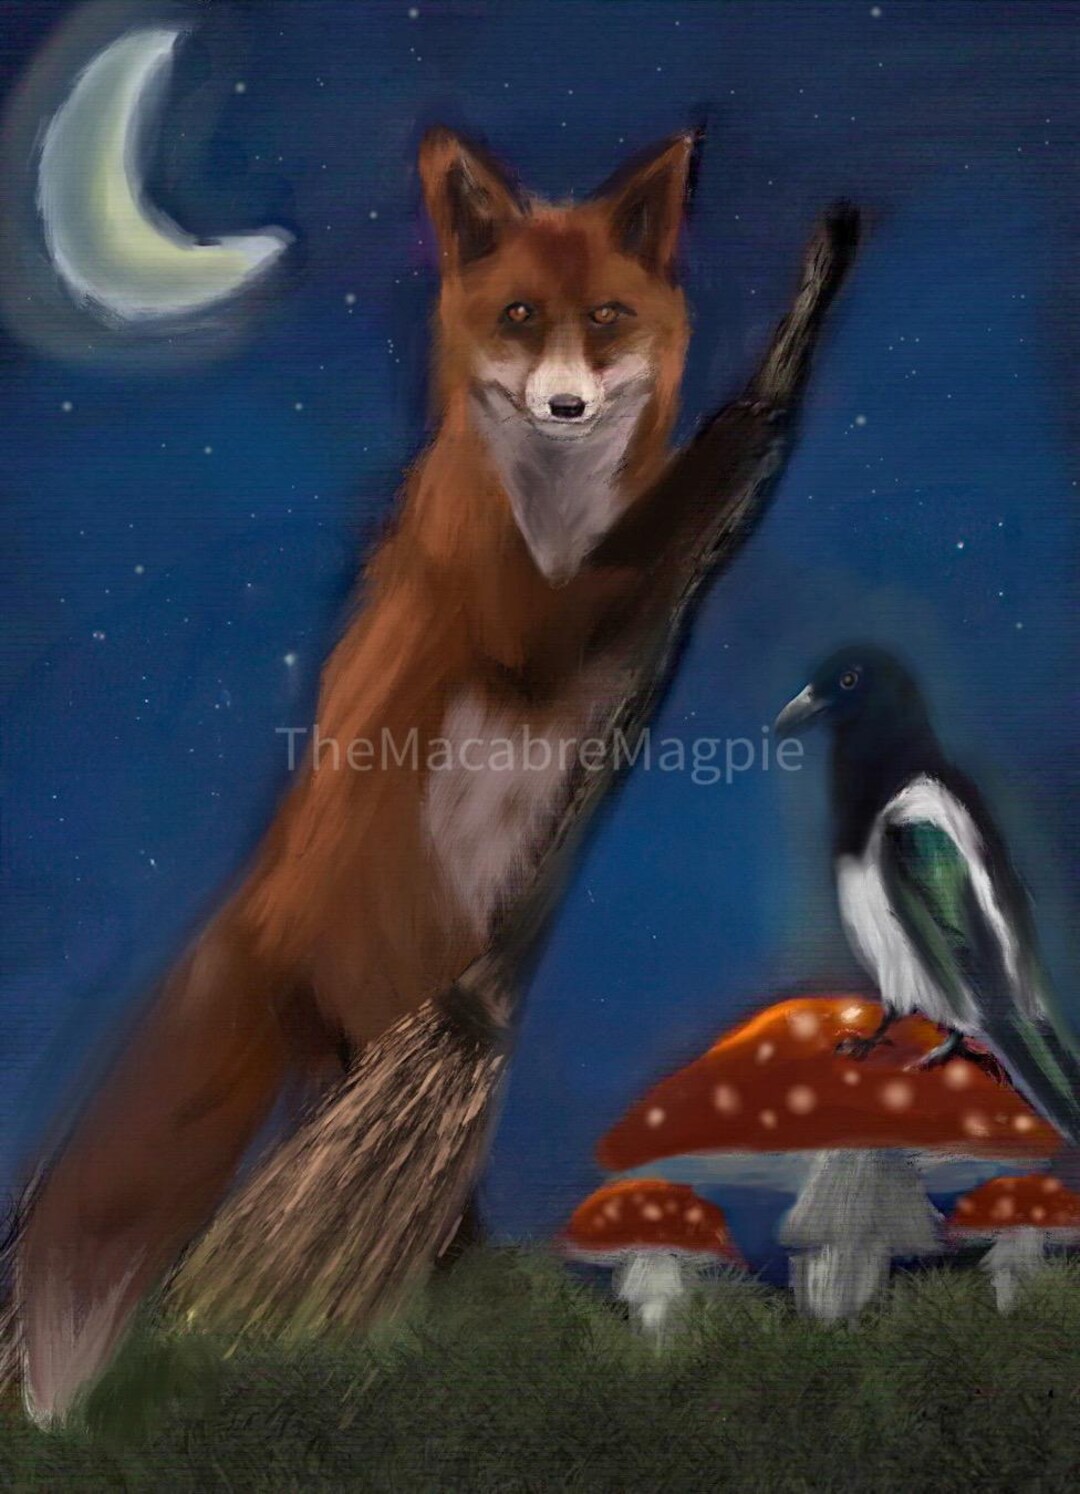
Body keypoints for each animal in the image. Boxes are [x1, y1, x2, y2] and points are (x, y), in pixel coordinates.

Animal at [16, 126, 858, 1423]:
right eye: (517, 316)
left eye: (607, 318)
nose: (565, 404)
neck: (555, 512)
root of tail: (260, 905)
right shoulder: (527, 625)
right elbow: (638, 549)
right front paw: (740, 433)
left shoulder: (595, 656)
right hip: (381, 992)